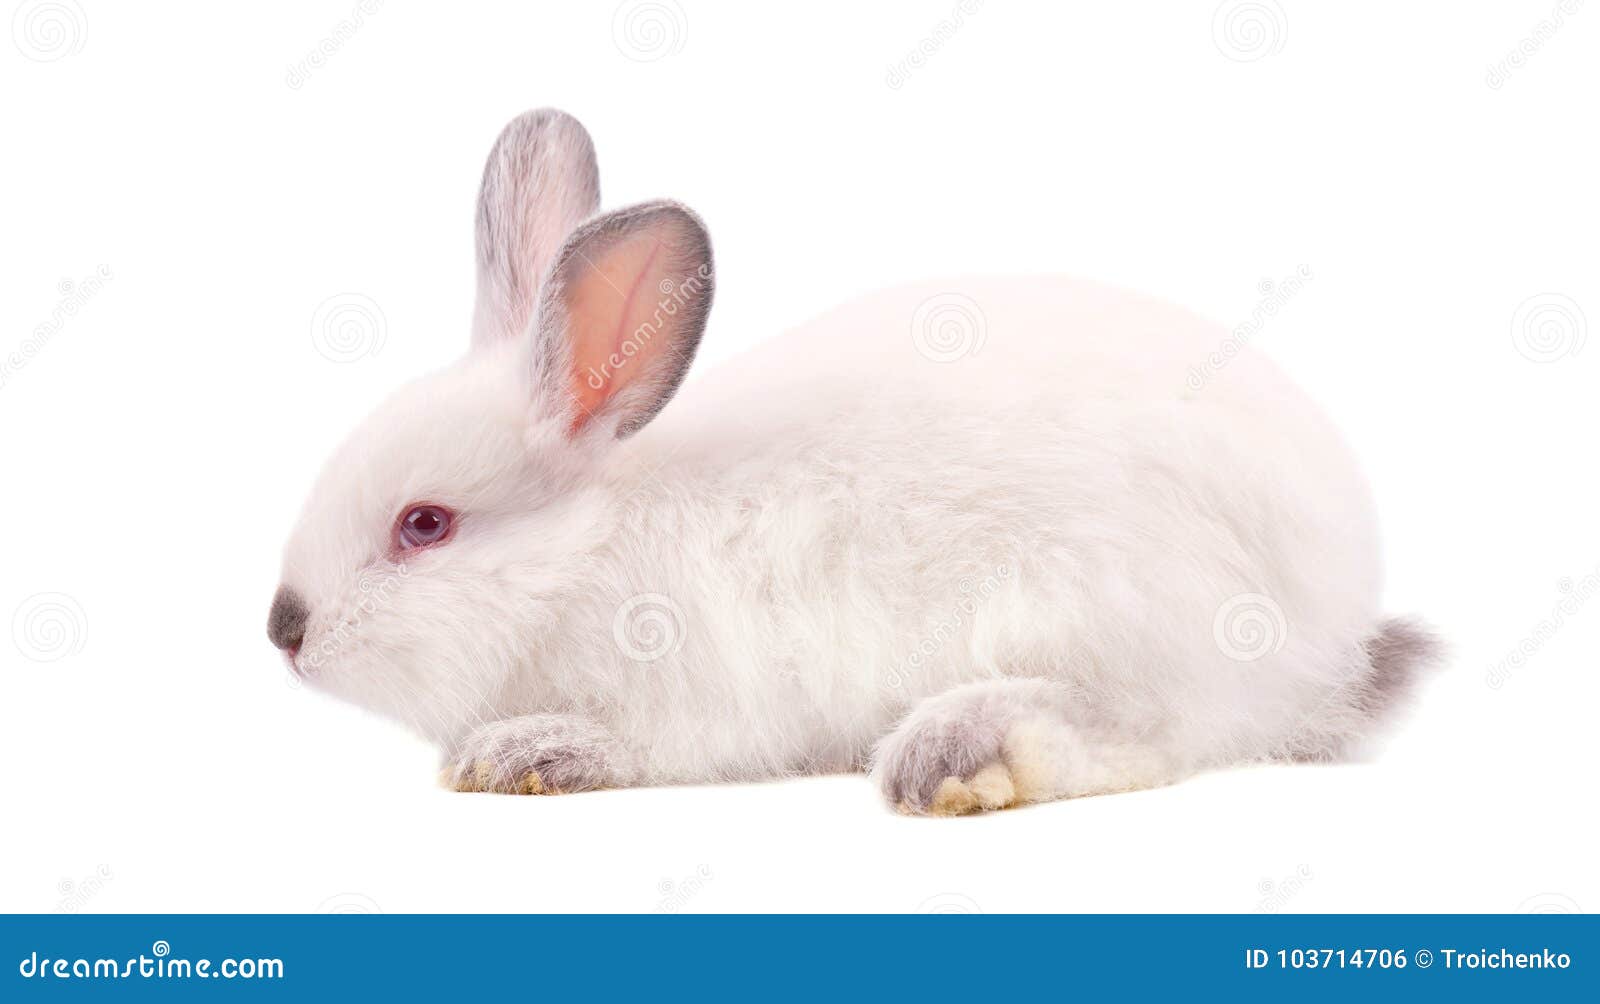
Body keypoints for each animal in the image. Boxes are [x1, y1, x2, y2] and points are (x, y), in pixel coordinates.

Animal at [268, 108, 1441, 815]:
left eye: (425, 525)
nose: (284, 629)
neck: (588, 549)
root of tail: (1334, 618)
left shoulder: (690, 694)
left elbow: (646, 742)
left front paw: (522, 751)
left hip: (1116, 611)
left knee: (1157, 729)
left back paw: (957, 754)